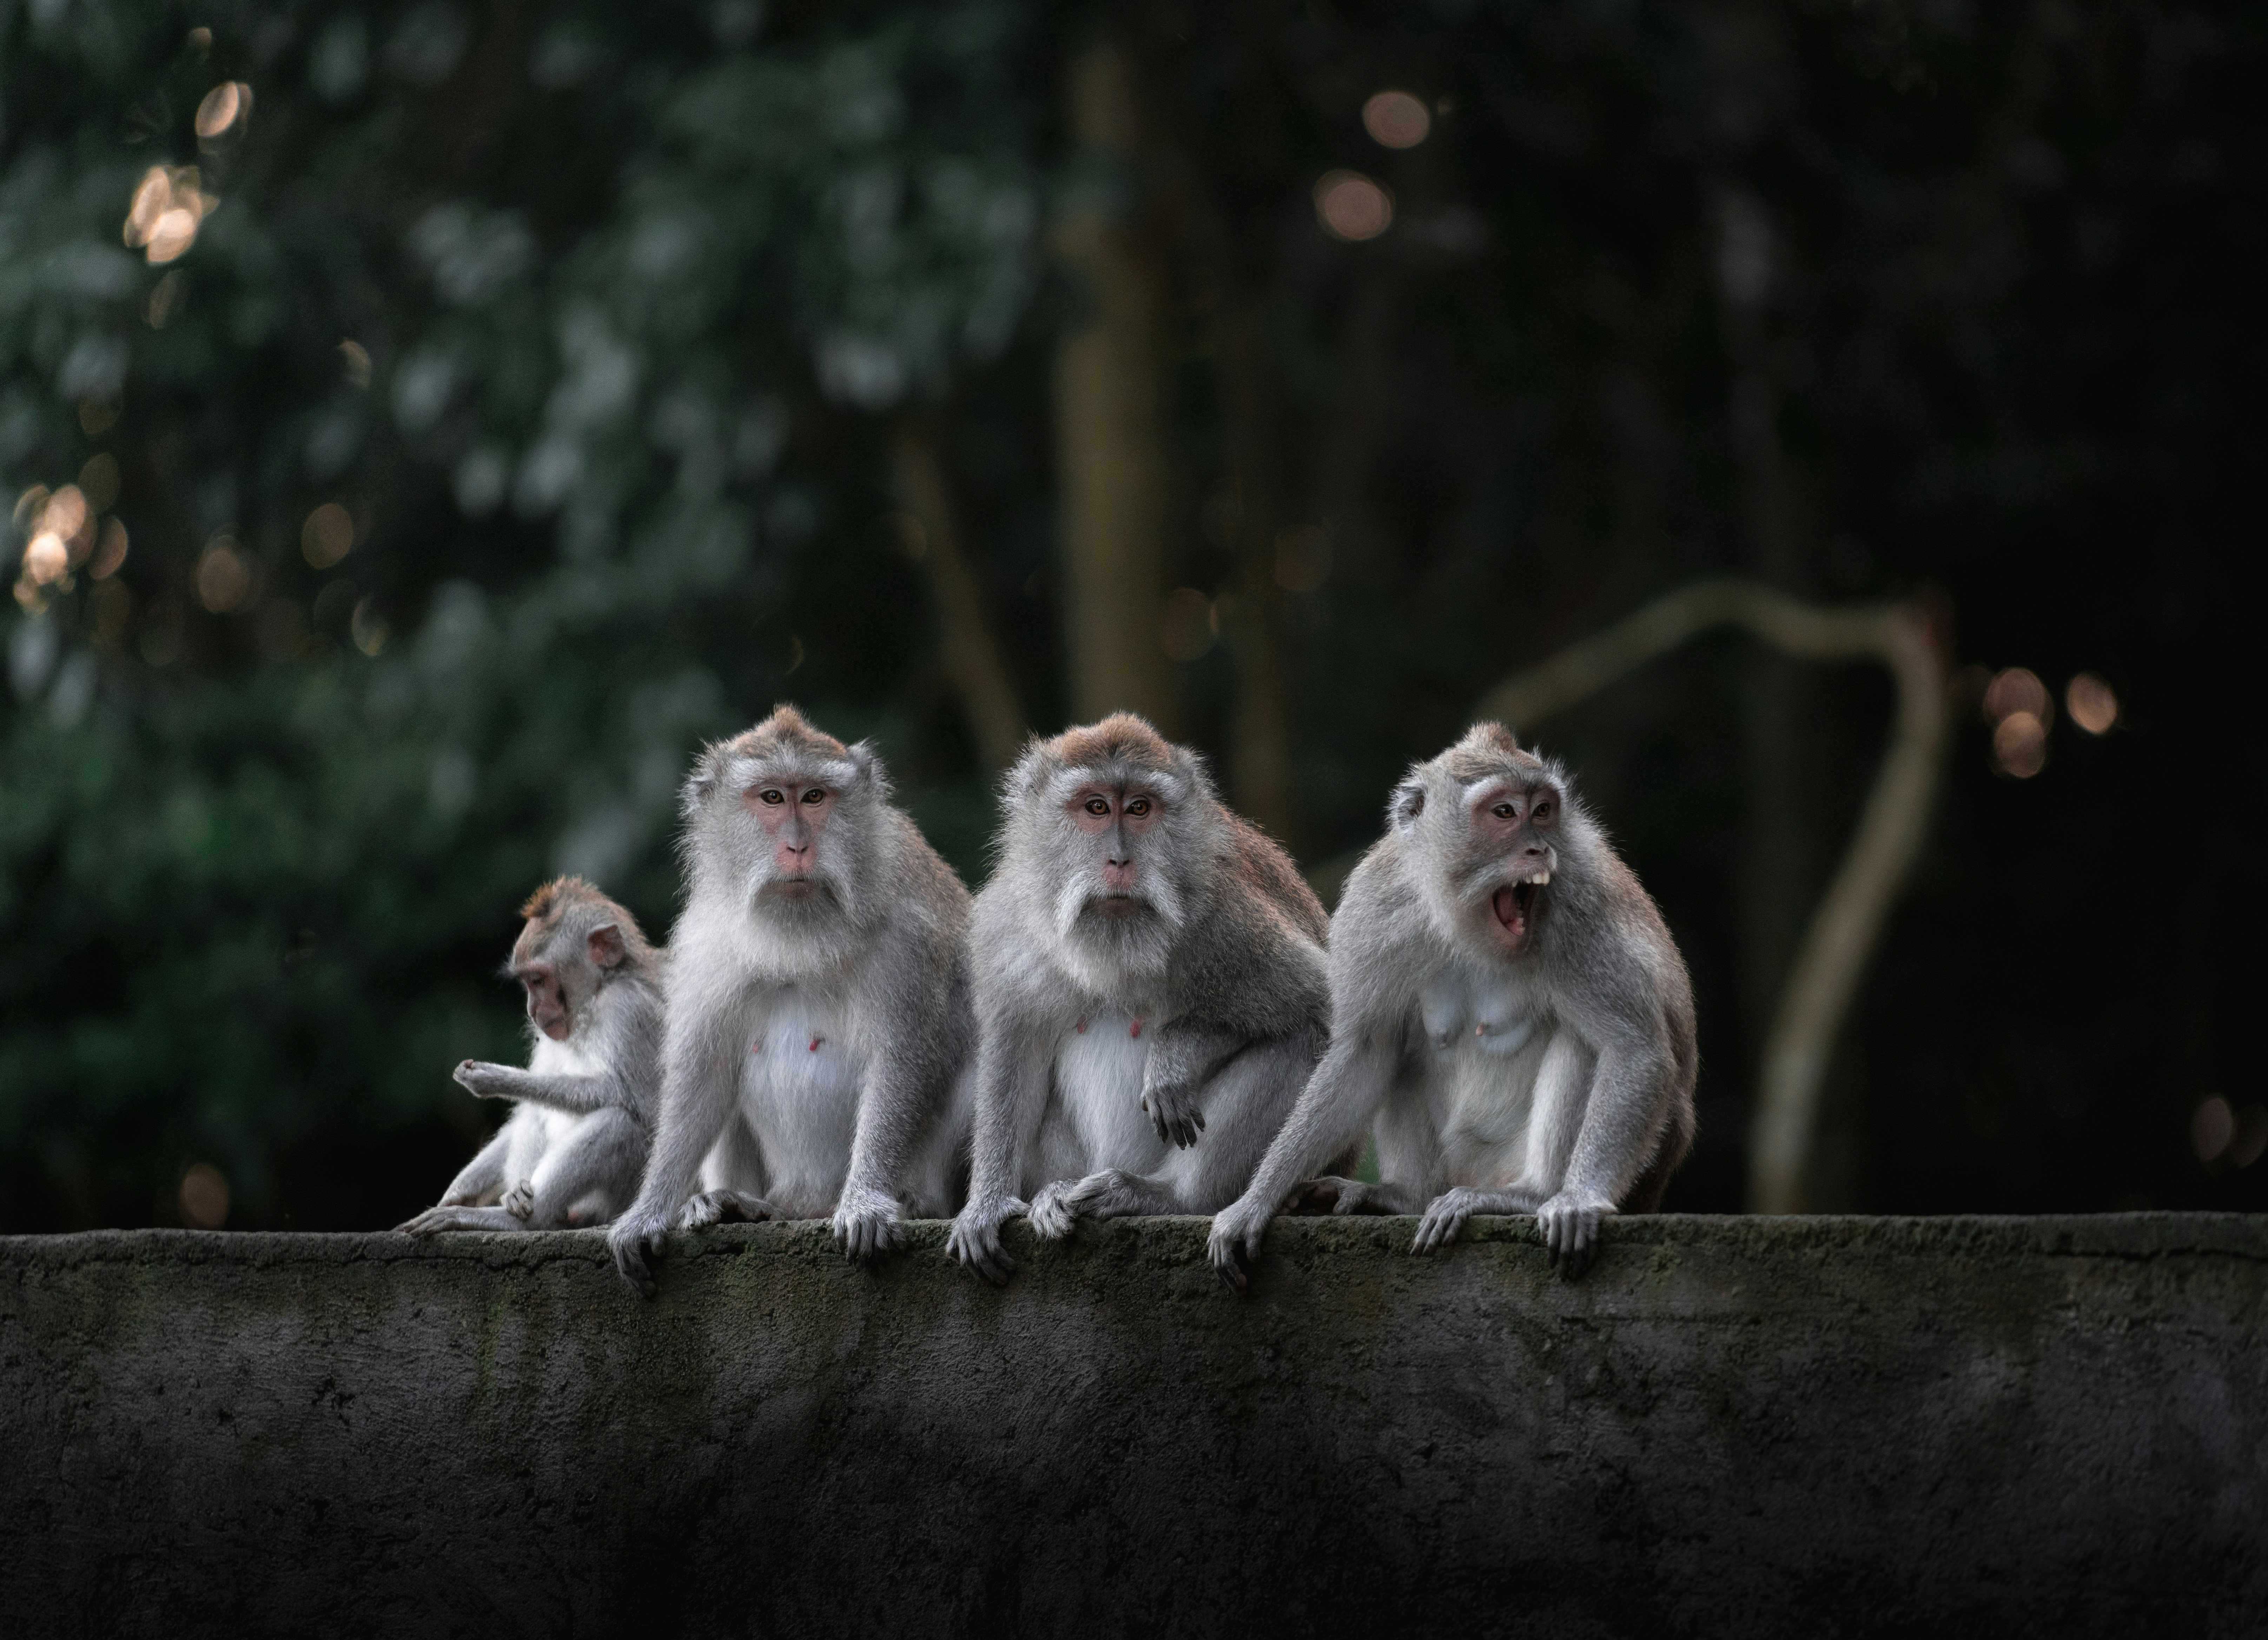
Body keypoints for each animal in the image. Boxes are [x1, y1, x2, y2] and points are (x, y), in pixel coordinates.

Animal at [399, 877, 664, 1234]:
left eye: (538, 980)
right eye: (526, 982)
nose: (532, 1009)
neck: (593, 1002)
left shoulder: (628, 1011)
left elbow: (642, 1105)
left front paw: (495, 1078)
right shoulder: (549, 1038)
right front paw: (458, 1193)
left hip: (617, 1201)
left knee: (618, 1124)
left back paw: (519, 1221)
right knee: (538, 1110)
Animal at [605, 706, 975, 1296]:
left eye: (816, 797)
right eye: (773, 798)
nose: (799, 848)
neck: (801, 936)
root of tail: (804, 1203)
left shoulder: (908, 938)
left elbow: (903, 1060)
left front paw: (867, 1201)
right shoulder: (707, 939)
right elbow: (704, 1073)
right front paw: (649, 1211)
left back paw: (918, 1202)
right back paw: (735, 1205)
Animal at [945, 713, 1346, 1284]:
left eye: (1139, 808)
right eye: (1095, 807)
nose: (1119, 859)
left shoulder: (1229, 925)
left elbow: (1327, 1008)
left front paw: (1173, 1058)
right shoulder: (1009, 927)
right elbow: (1013, 1052)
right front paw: (987, 1205)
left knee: (1301, 1039)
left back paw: (1169, 1197)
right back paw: (1054, 1194)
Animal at [1207, 722, 1697, 1285]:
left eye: (1543, 811)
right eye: (1504, 812)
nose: (1539, 849)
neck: (1464, 919)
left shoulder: (1578, 905)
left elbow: (1631, 1047)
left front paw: (1580, 1197)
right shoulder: (1376, 902)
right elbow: (1365, 1050)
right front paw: (1256, 1201)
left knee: (1584, 1042)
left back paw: (1532, 1197)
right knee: (1399, 1049)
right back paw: (1402, 1197)